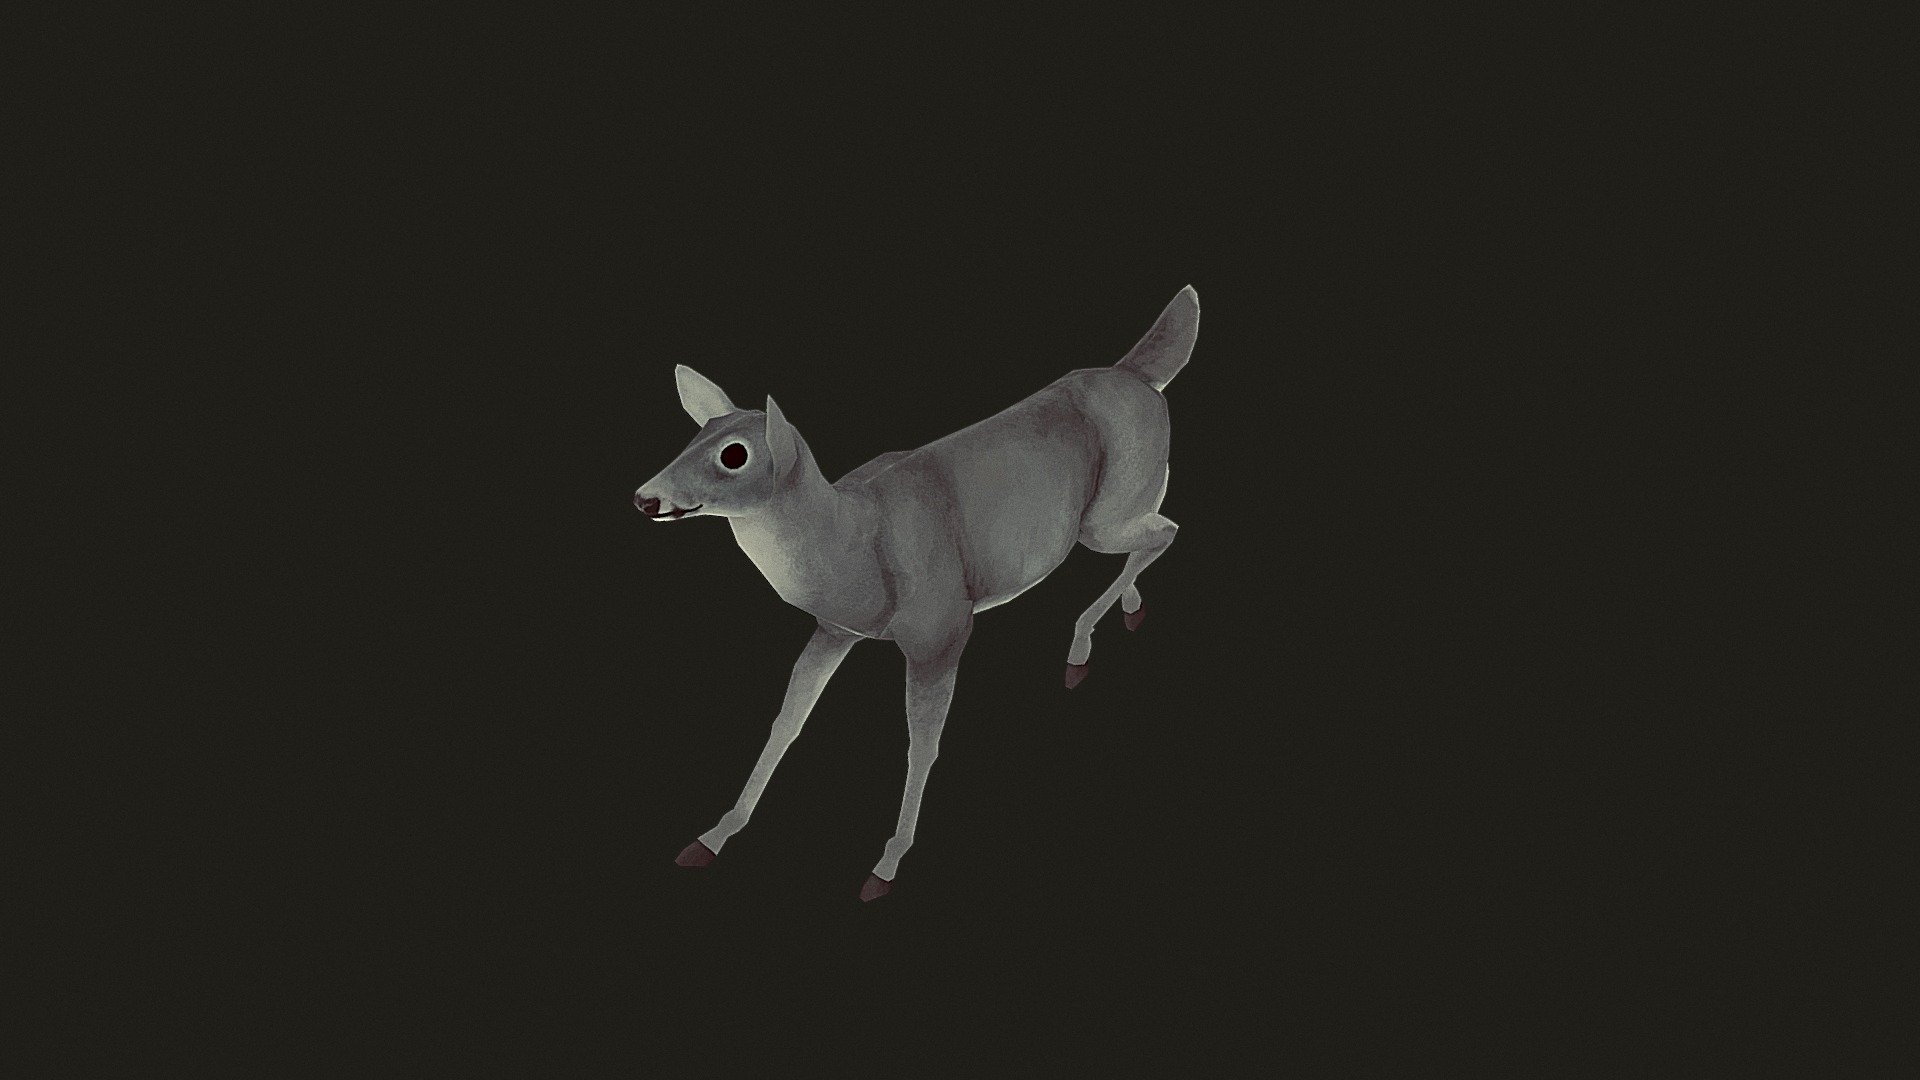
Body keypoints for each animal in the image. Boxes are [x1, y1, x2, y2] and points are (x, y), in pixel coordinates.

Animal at [634, 286, 1198, 900]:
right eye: (694, 435)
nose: (644, 497)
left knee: (1167, 529)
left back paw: (1080, 646)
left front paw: (885, 866)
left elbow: (921, 744)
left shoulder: (942, 628)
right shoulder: (835, 630)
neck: (854, 549)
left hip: (1103, 514)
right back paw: (1125, 611)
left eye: (733, 454)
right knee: (1156, 529)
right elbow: (786, 720)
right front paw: (710, 837)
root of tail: (1137, 377)